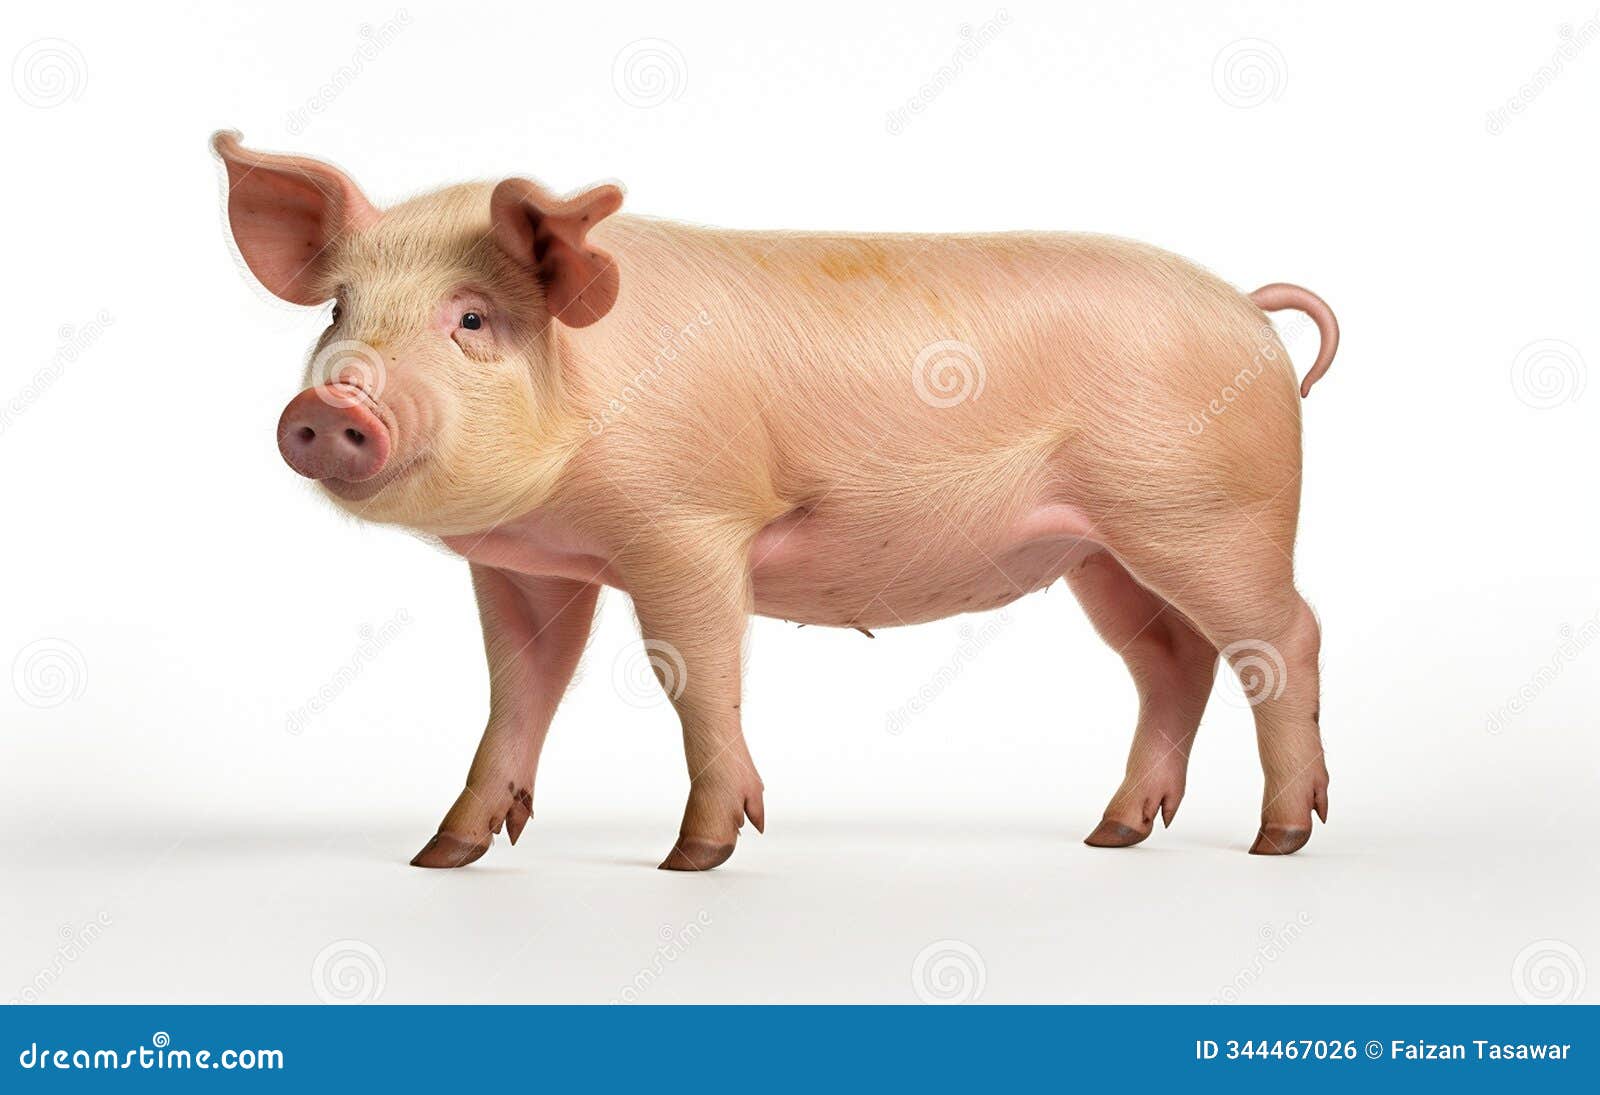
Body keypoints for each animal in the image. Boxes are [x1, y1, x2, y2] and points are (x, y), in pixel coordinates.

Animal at [213, 130, 1338, 870]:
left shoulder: (689, 528)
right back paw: (1112, 834)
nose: (327, 405)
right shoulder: (524, 563)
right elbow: (519, 691)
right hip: (1102, 550)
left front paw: (694, 856)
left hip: (1212, 512)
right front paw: (439, 856)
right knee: (1174, 660)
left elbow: (698, 681)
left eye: (474, 318)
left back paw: (1277, 840)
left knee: (1284, 635)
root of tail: (1247, 307)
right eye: (336, 309)